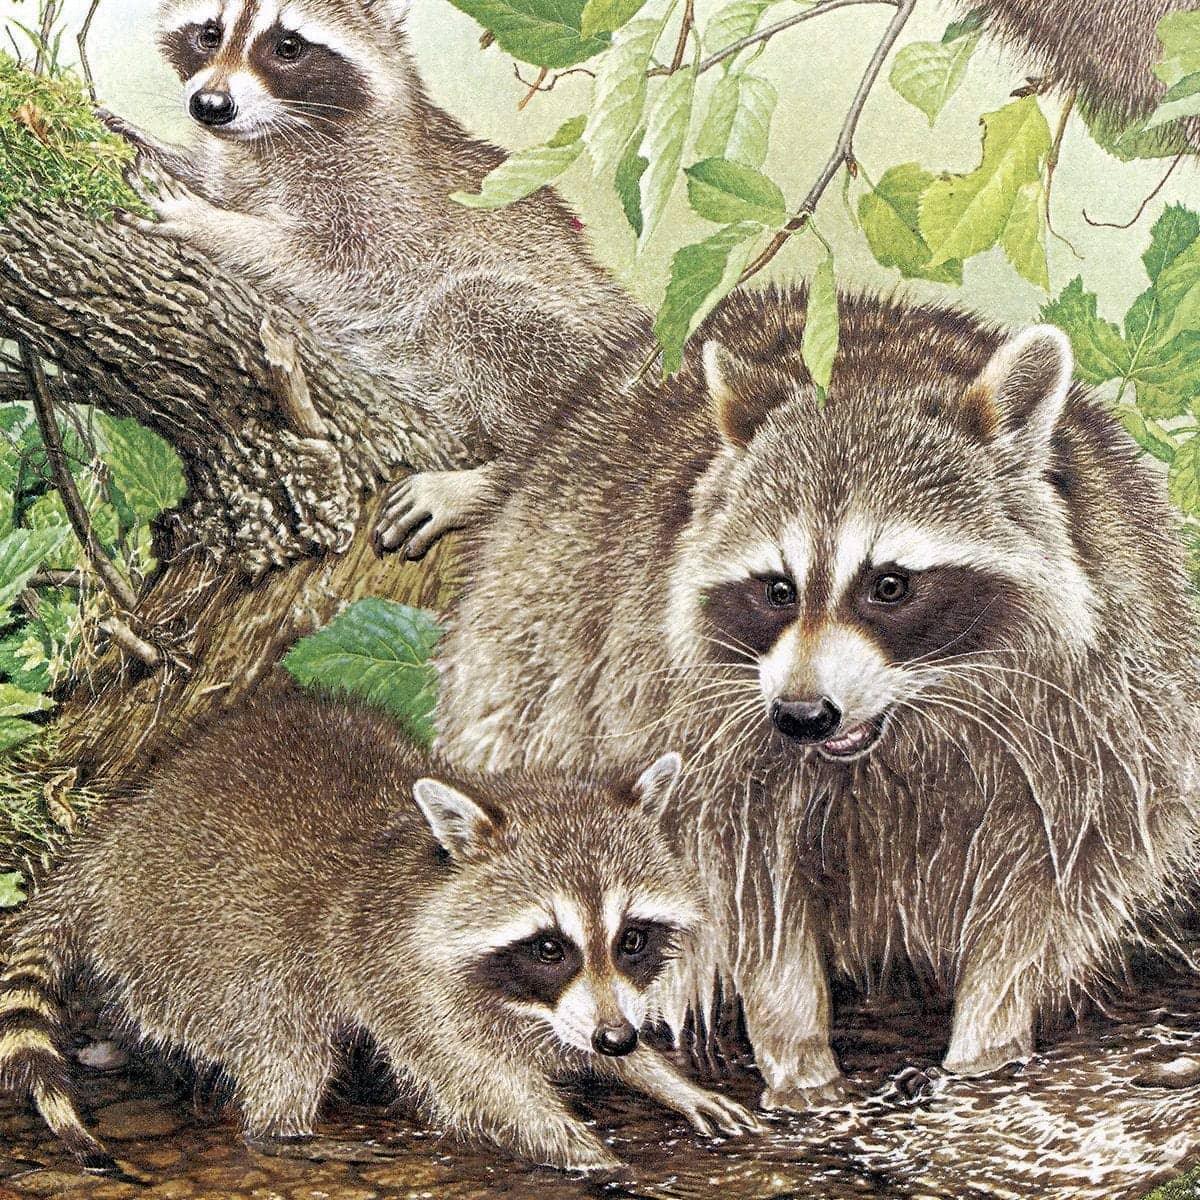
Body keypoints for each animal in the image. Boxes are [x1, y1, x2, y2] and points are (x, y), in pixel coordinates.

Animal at [0, 689, 758, 1173]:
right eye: (550, 947)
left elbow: (564, 1038)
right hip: (203, 945)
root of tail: (109, 850)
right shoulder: (403, 977)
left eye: (631, 940)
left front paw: (655, 1074)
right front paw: (587, 1151)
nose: (619, 1038)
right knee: (286, 1040)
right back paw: (285, 1131)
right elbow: (481, 1084)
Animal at [108, 0, 648, 559]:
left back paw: (492, 475)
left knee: (476, 308)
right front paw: (146, 140)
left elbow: (337, 264)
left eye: (288, 47)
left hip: (586, 352)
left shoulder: (391, 204)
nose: (210, 105)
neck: (277, 132)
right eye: (209, 34)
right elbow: (212, 175)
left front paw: (211, 224)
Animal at [434, 287, 1200, 1109]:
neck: (904, 723)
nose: (801, 716)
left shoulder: (1103, 701)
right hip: (524, 666)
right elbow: (744, 890)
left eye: (889, 585)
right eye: (777, 589)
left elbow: (1053, 878)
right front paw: (797, 1049)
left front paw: (988, 1035)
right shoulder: (689, 717)